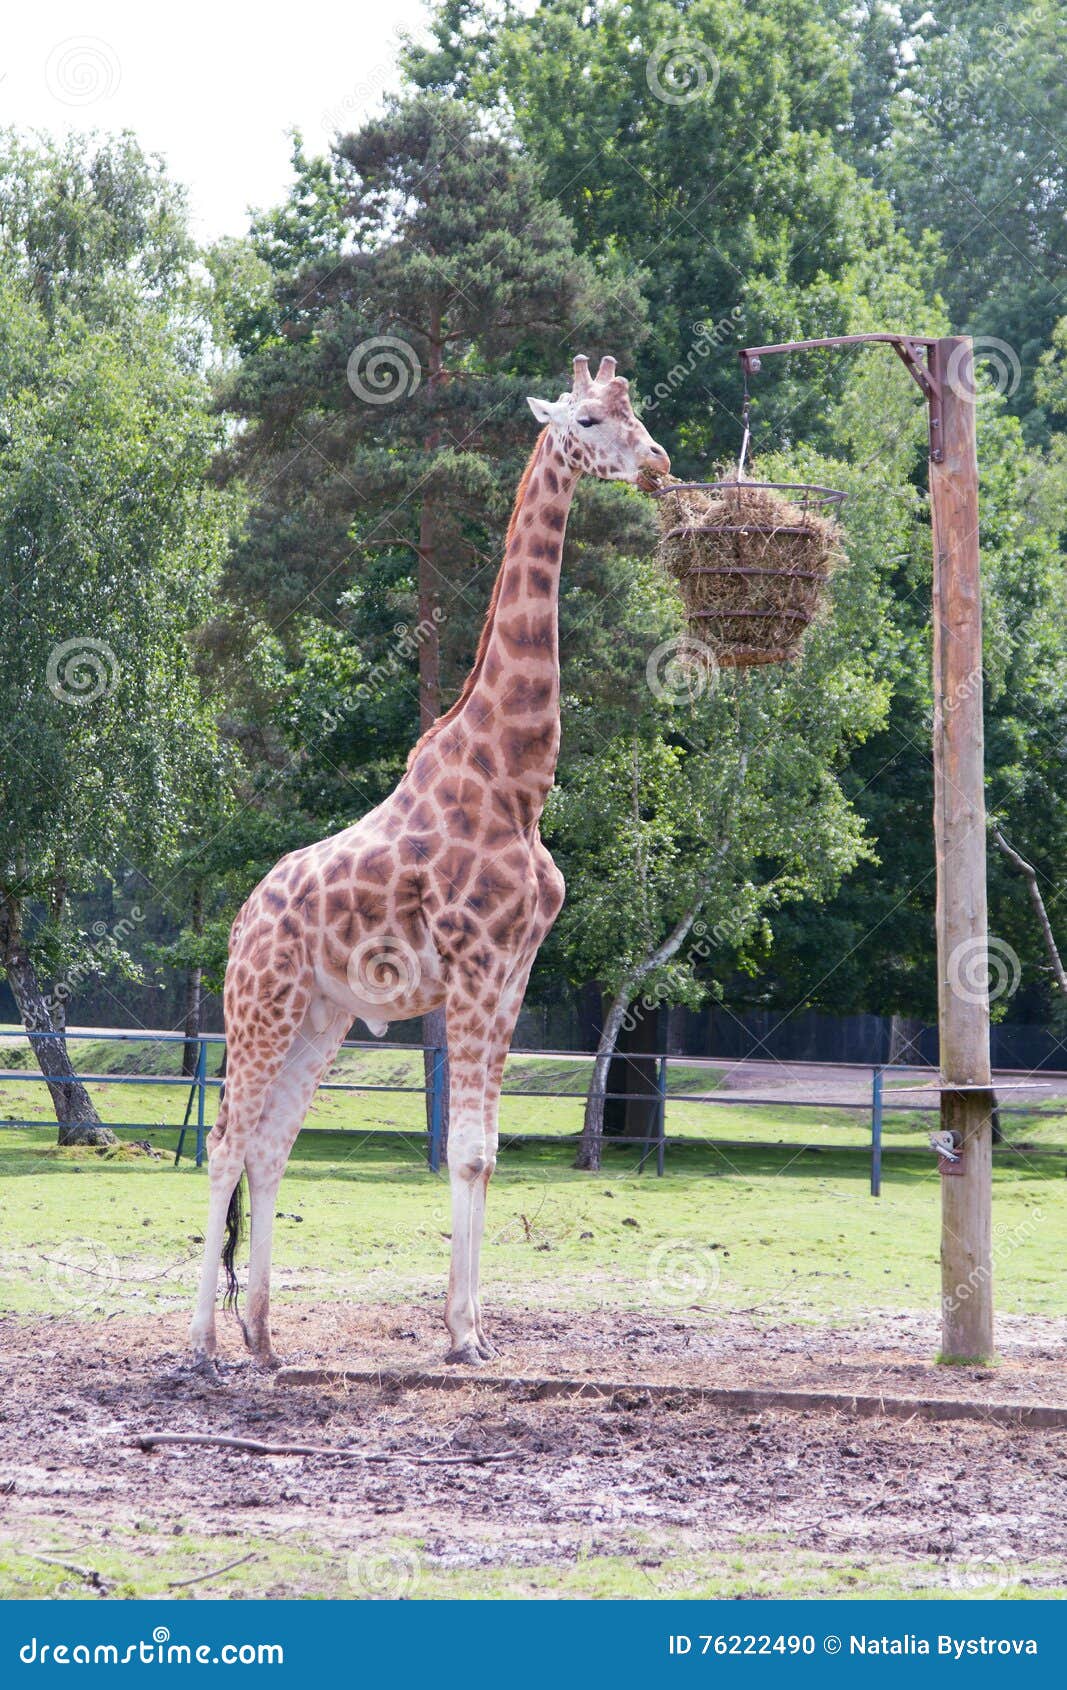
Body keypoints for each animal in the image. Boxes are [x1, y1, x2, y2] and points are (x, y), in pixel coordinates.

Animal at [189, 353, 670, 1371]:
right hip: (261, 1005)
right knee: (224, 1141)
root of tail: (241, 919)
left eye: (635, 412)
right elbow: (467, 1150)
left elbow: (484, 1150)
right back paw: (204, 1343)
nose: (655, 463)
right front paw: (461, 1335)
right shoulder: (478, 966)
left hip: (321, 1014)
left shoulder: (516, 969)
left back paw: (264, 1339)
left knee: (270, 1145)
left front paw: (474, 1328)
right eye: (584, 419)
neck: (516, 780)